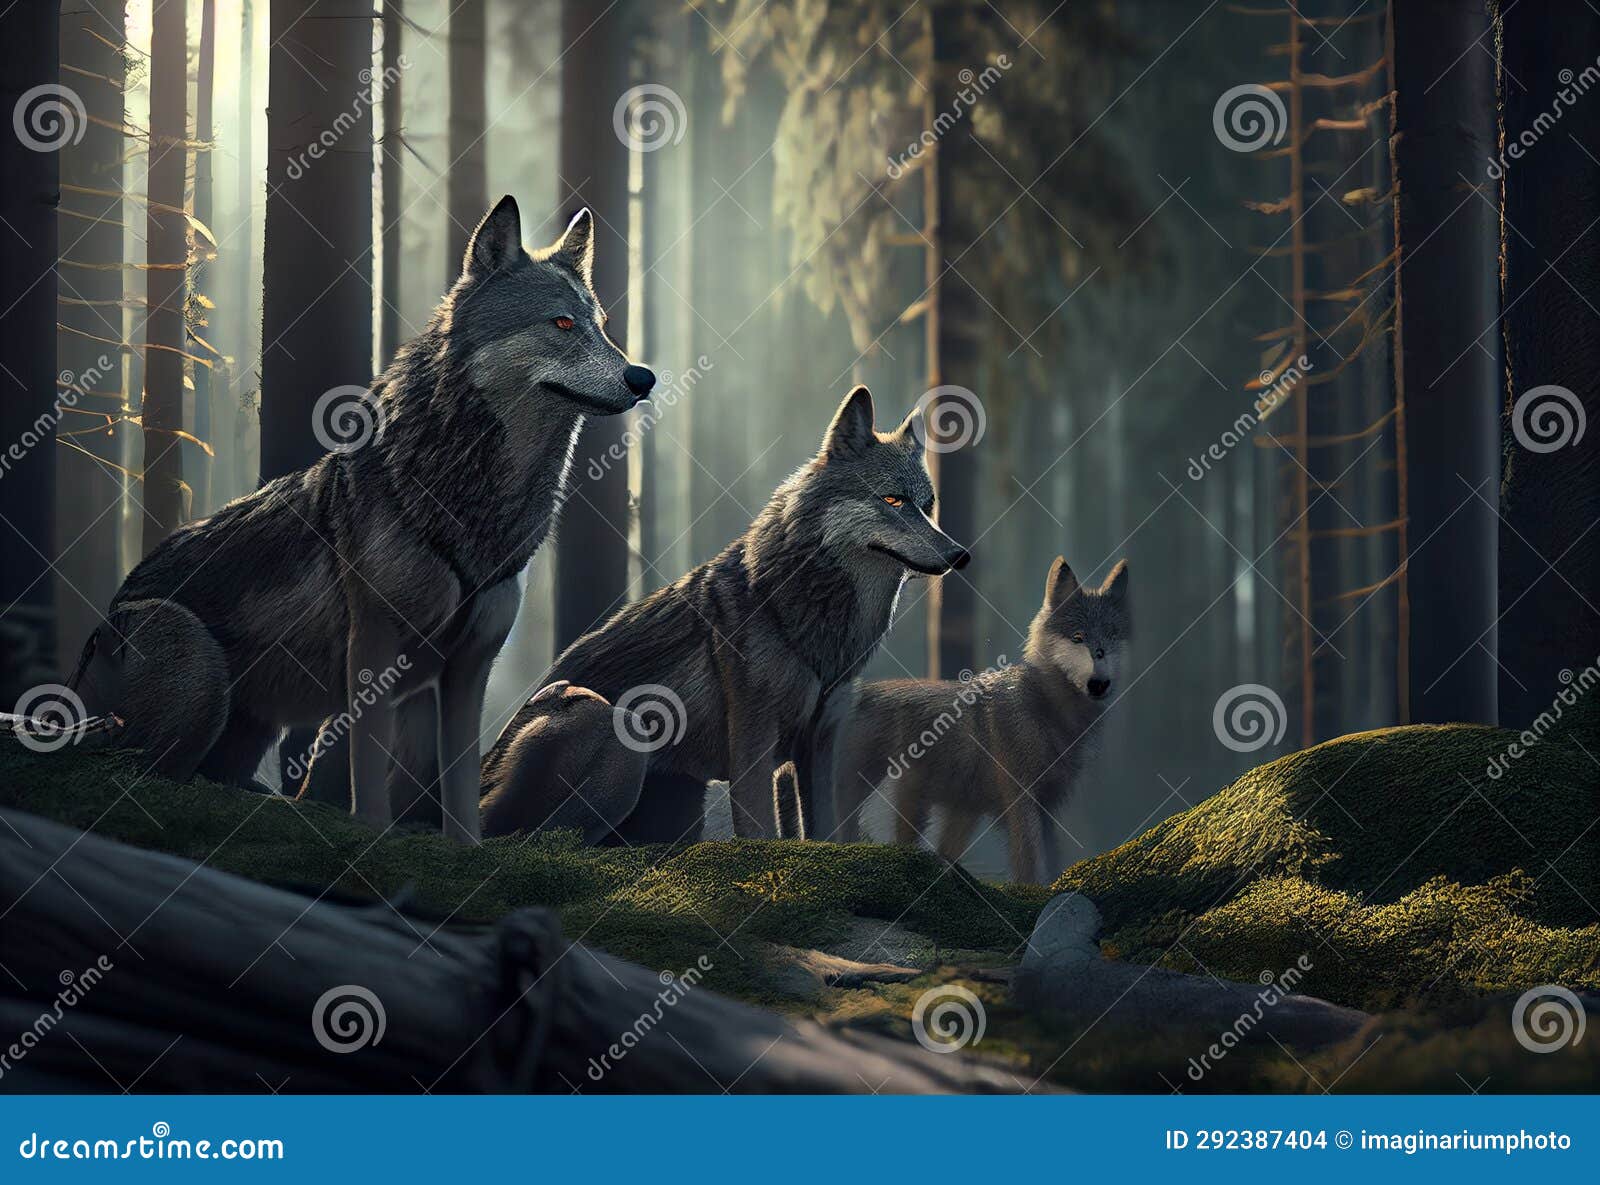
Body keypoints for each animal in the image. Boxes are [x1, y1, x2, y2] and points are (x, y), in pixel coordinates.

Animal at [70, 196, 655, 843]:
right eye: (562, 325)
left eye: (601, 325)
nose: (643, 378)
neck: (467, 509)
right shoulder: (373, 646)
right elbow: (368, 772)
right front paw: (370, 837)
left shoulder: (467, 670)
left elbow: (459, 792)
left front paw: (464, 849)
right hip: (196, 667)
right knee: (133, 767)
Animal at [479, 385, 971, 844]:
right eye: (893, 501)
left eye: (927, 506)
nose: (959, 555)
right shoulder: (753, 747)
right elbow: (759, 830)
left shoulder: (820, 744)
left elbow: (823, 832)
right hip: (614, 730)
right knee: (527, 838)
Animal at [832, 556, 1130, 883]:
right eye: (1078, 637)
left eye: (1111, 639)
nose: (1099, 684)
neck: (1048, 710)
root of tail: (861, 691)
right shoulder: (1020, 801)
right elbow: (1027, 865)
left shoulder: (1047, 806)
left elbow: (1050, 862)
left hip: (957, 814)